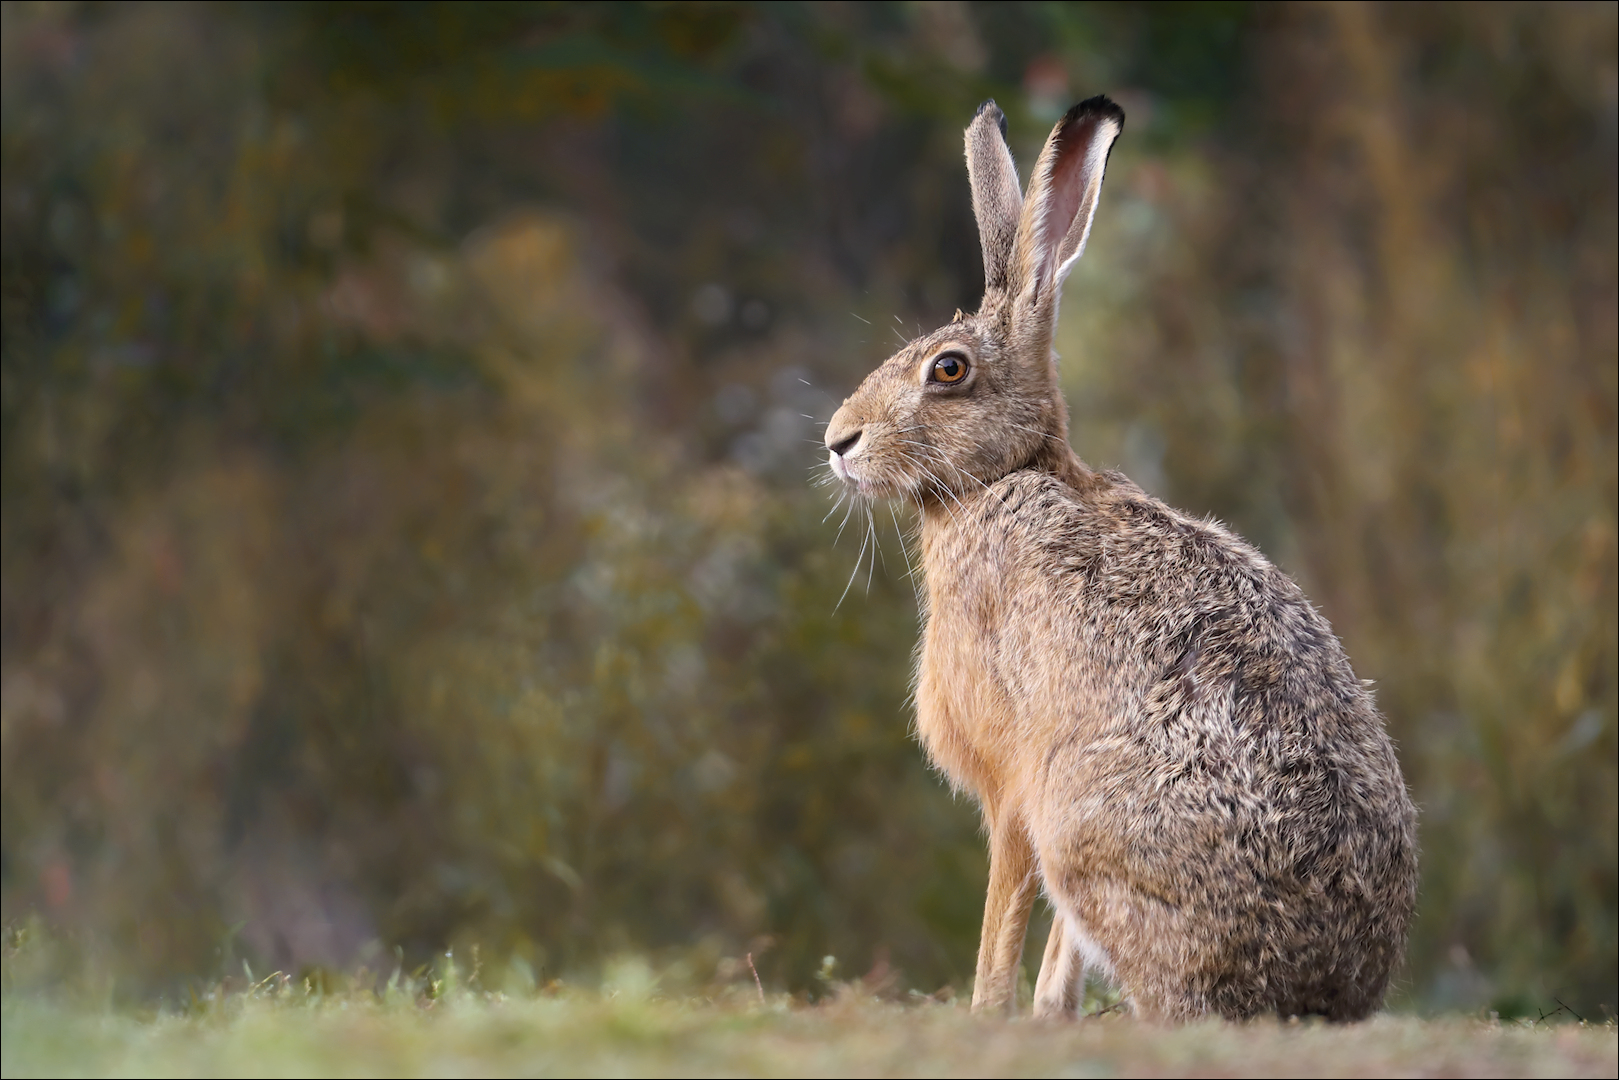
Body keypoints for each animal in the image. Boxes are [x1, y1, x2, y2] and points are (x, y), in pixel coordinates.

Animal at [821, 97, 1418, 1022]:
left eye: (947, 370)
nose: (837, 441)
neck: (1008, 473)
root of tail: (1315, 991)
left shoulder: (1012, 789)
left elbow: (1003, 912)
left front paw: (987, 1015)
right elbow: (1056, 949)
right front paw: (1046, 1016)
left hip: (1081, 827)